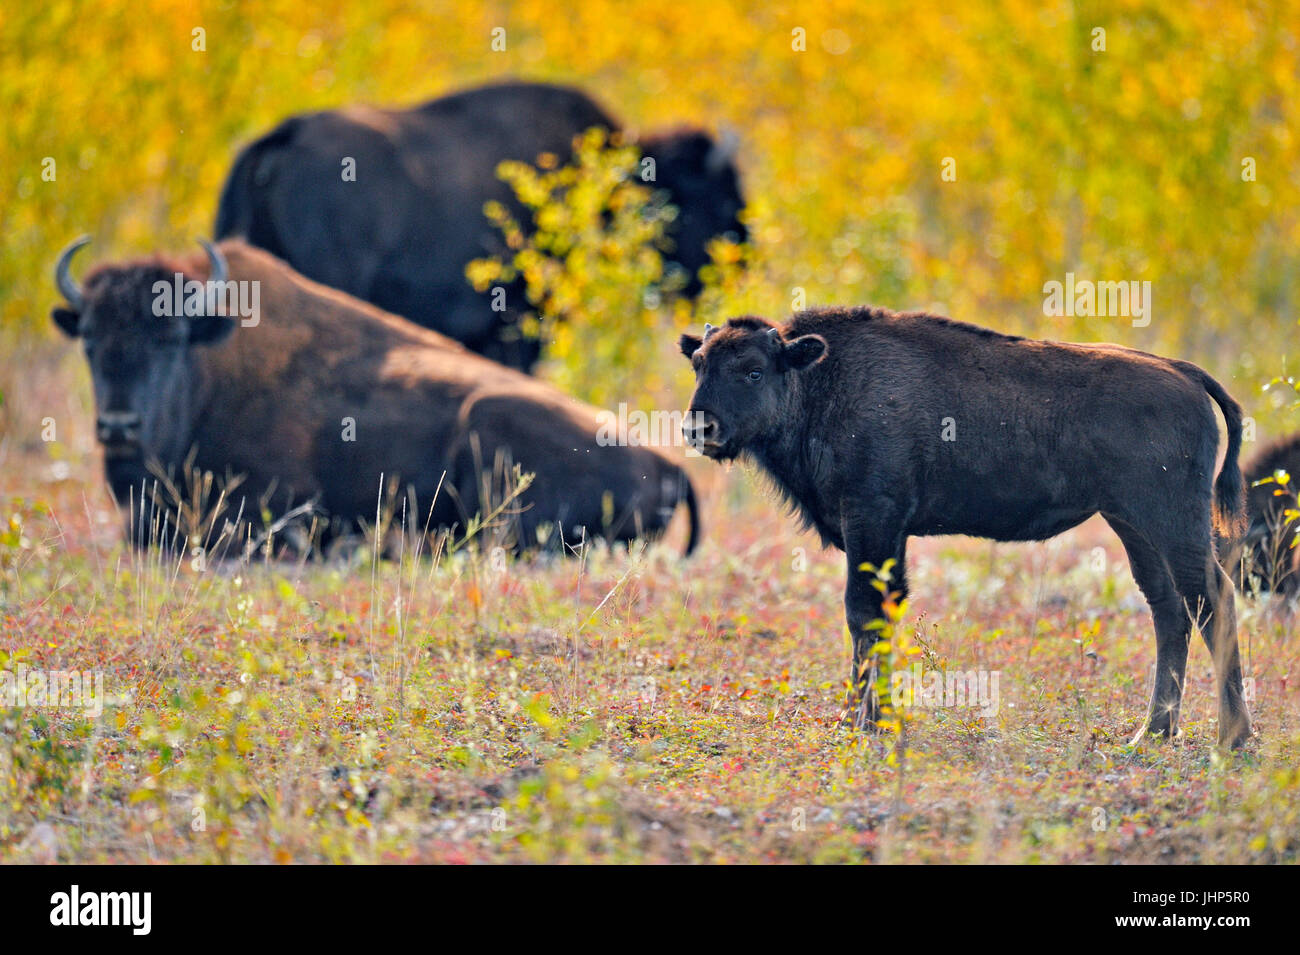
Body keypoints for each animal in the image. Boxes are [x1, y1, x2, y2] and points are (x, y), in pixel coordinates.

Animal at [51, 237, 699, 557]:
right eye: (89, 340)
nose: (118, 427)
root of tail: (667, 464)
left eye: (168, 339)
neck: (212, 369)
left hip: (488, 417)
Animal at [679, 308, 1253, 749]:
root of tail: (1184, 372)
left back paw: (1232, 737)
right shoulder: (885, 533)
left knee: (1211, 601)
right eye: (700, 364)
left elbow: (863, 613)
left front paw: (865, 723)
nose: (698, 427)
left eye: (754, 370)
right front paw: (868, 719)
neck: (822, 379)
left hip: (1171, 521)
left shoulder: (872, 518)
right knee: (1169, 610)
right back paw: (1151, 734)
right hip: (1132, 525)